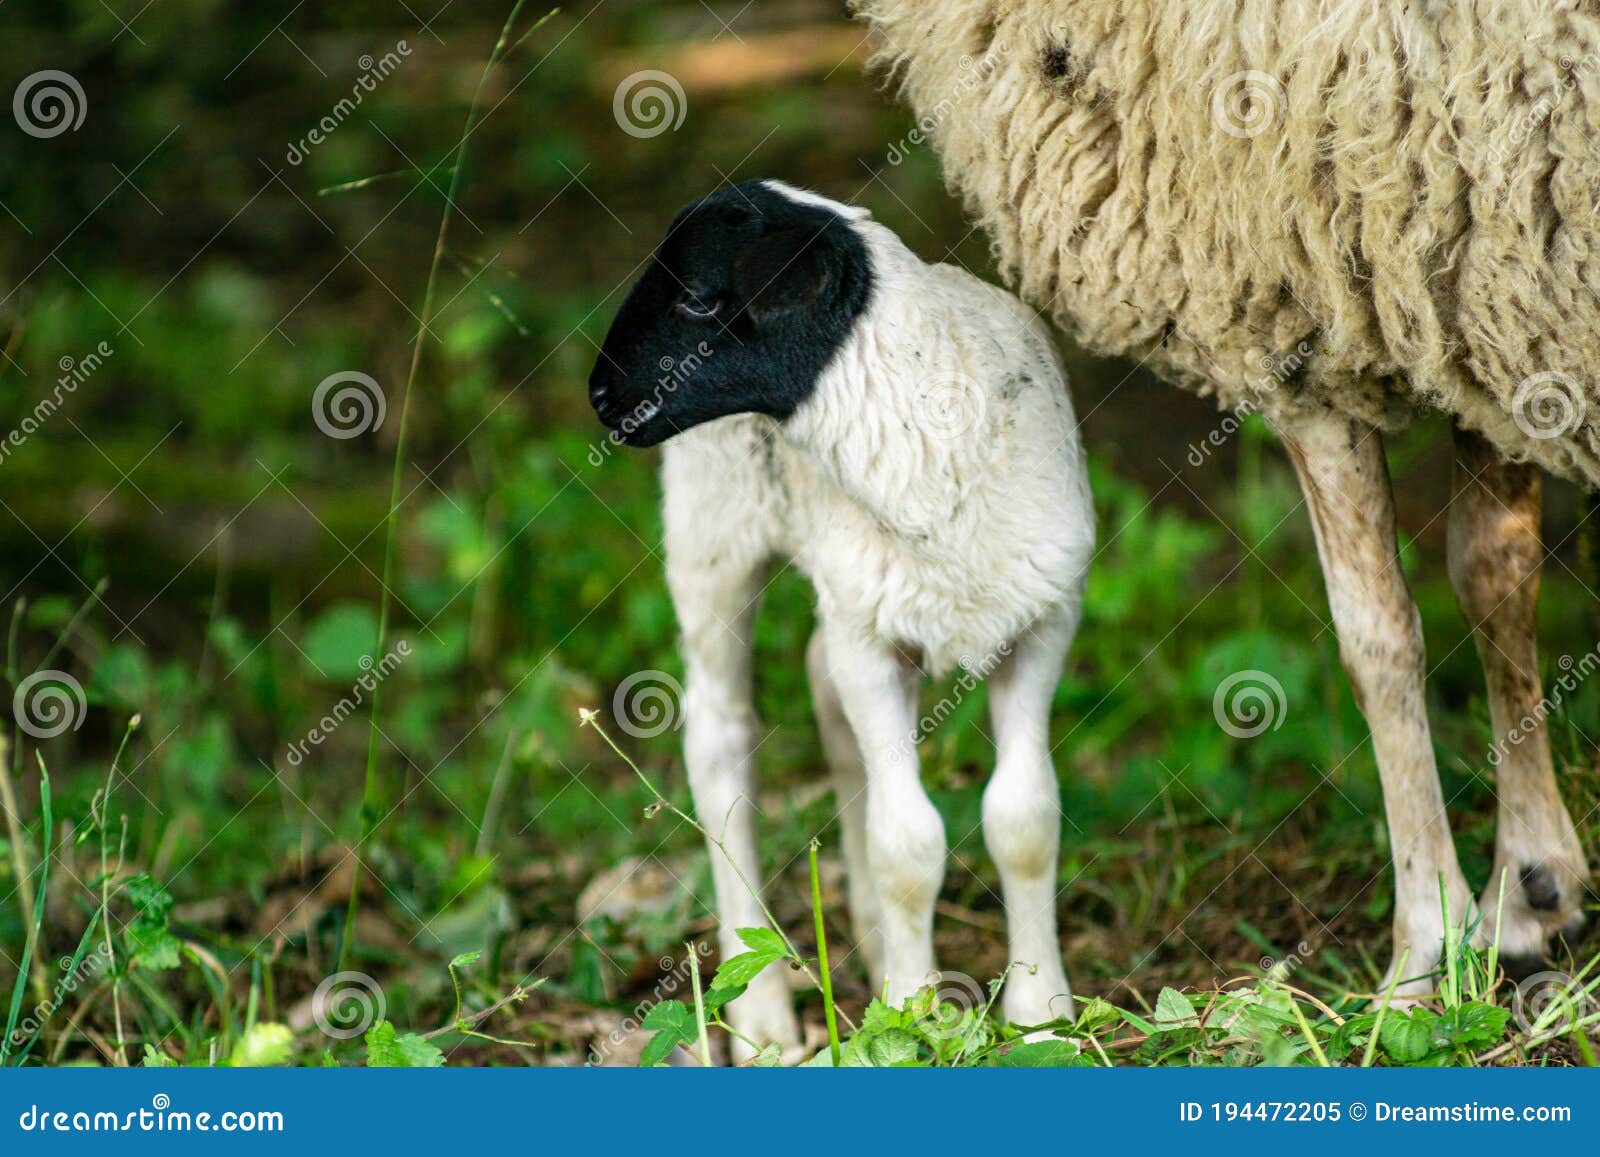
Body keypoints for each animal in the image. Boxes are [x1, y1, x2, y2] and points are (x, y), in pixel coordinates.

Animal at [587, 179, 1095, 1055]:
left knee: (822, 692)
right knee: (721, 738)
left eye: (697, 298)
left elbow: (1023, 819)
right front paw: (913, 1013)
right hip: (713, 535)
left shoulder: (1040, 620)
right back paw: (762, 1019)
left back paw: (863, 933)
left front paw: (1042, 1016)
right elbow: (910, 845)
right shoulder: (872, 644)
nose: (598, 397)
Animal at [850, 0, 1596, 993]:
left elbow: (1377, 642)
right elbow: (1493, 575)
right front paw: (1529, 886)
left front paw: (1424, 942)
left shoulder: (1298, 306)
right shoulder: (1478, 288)